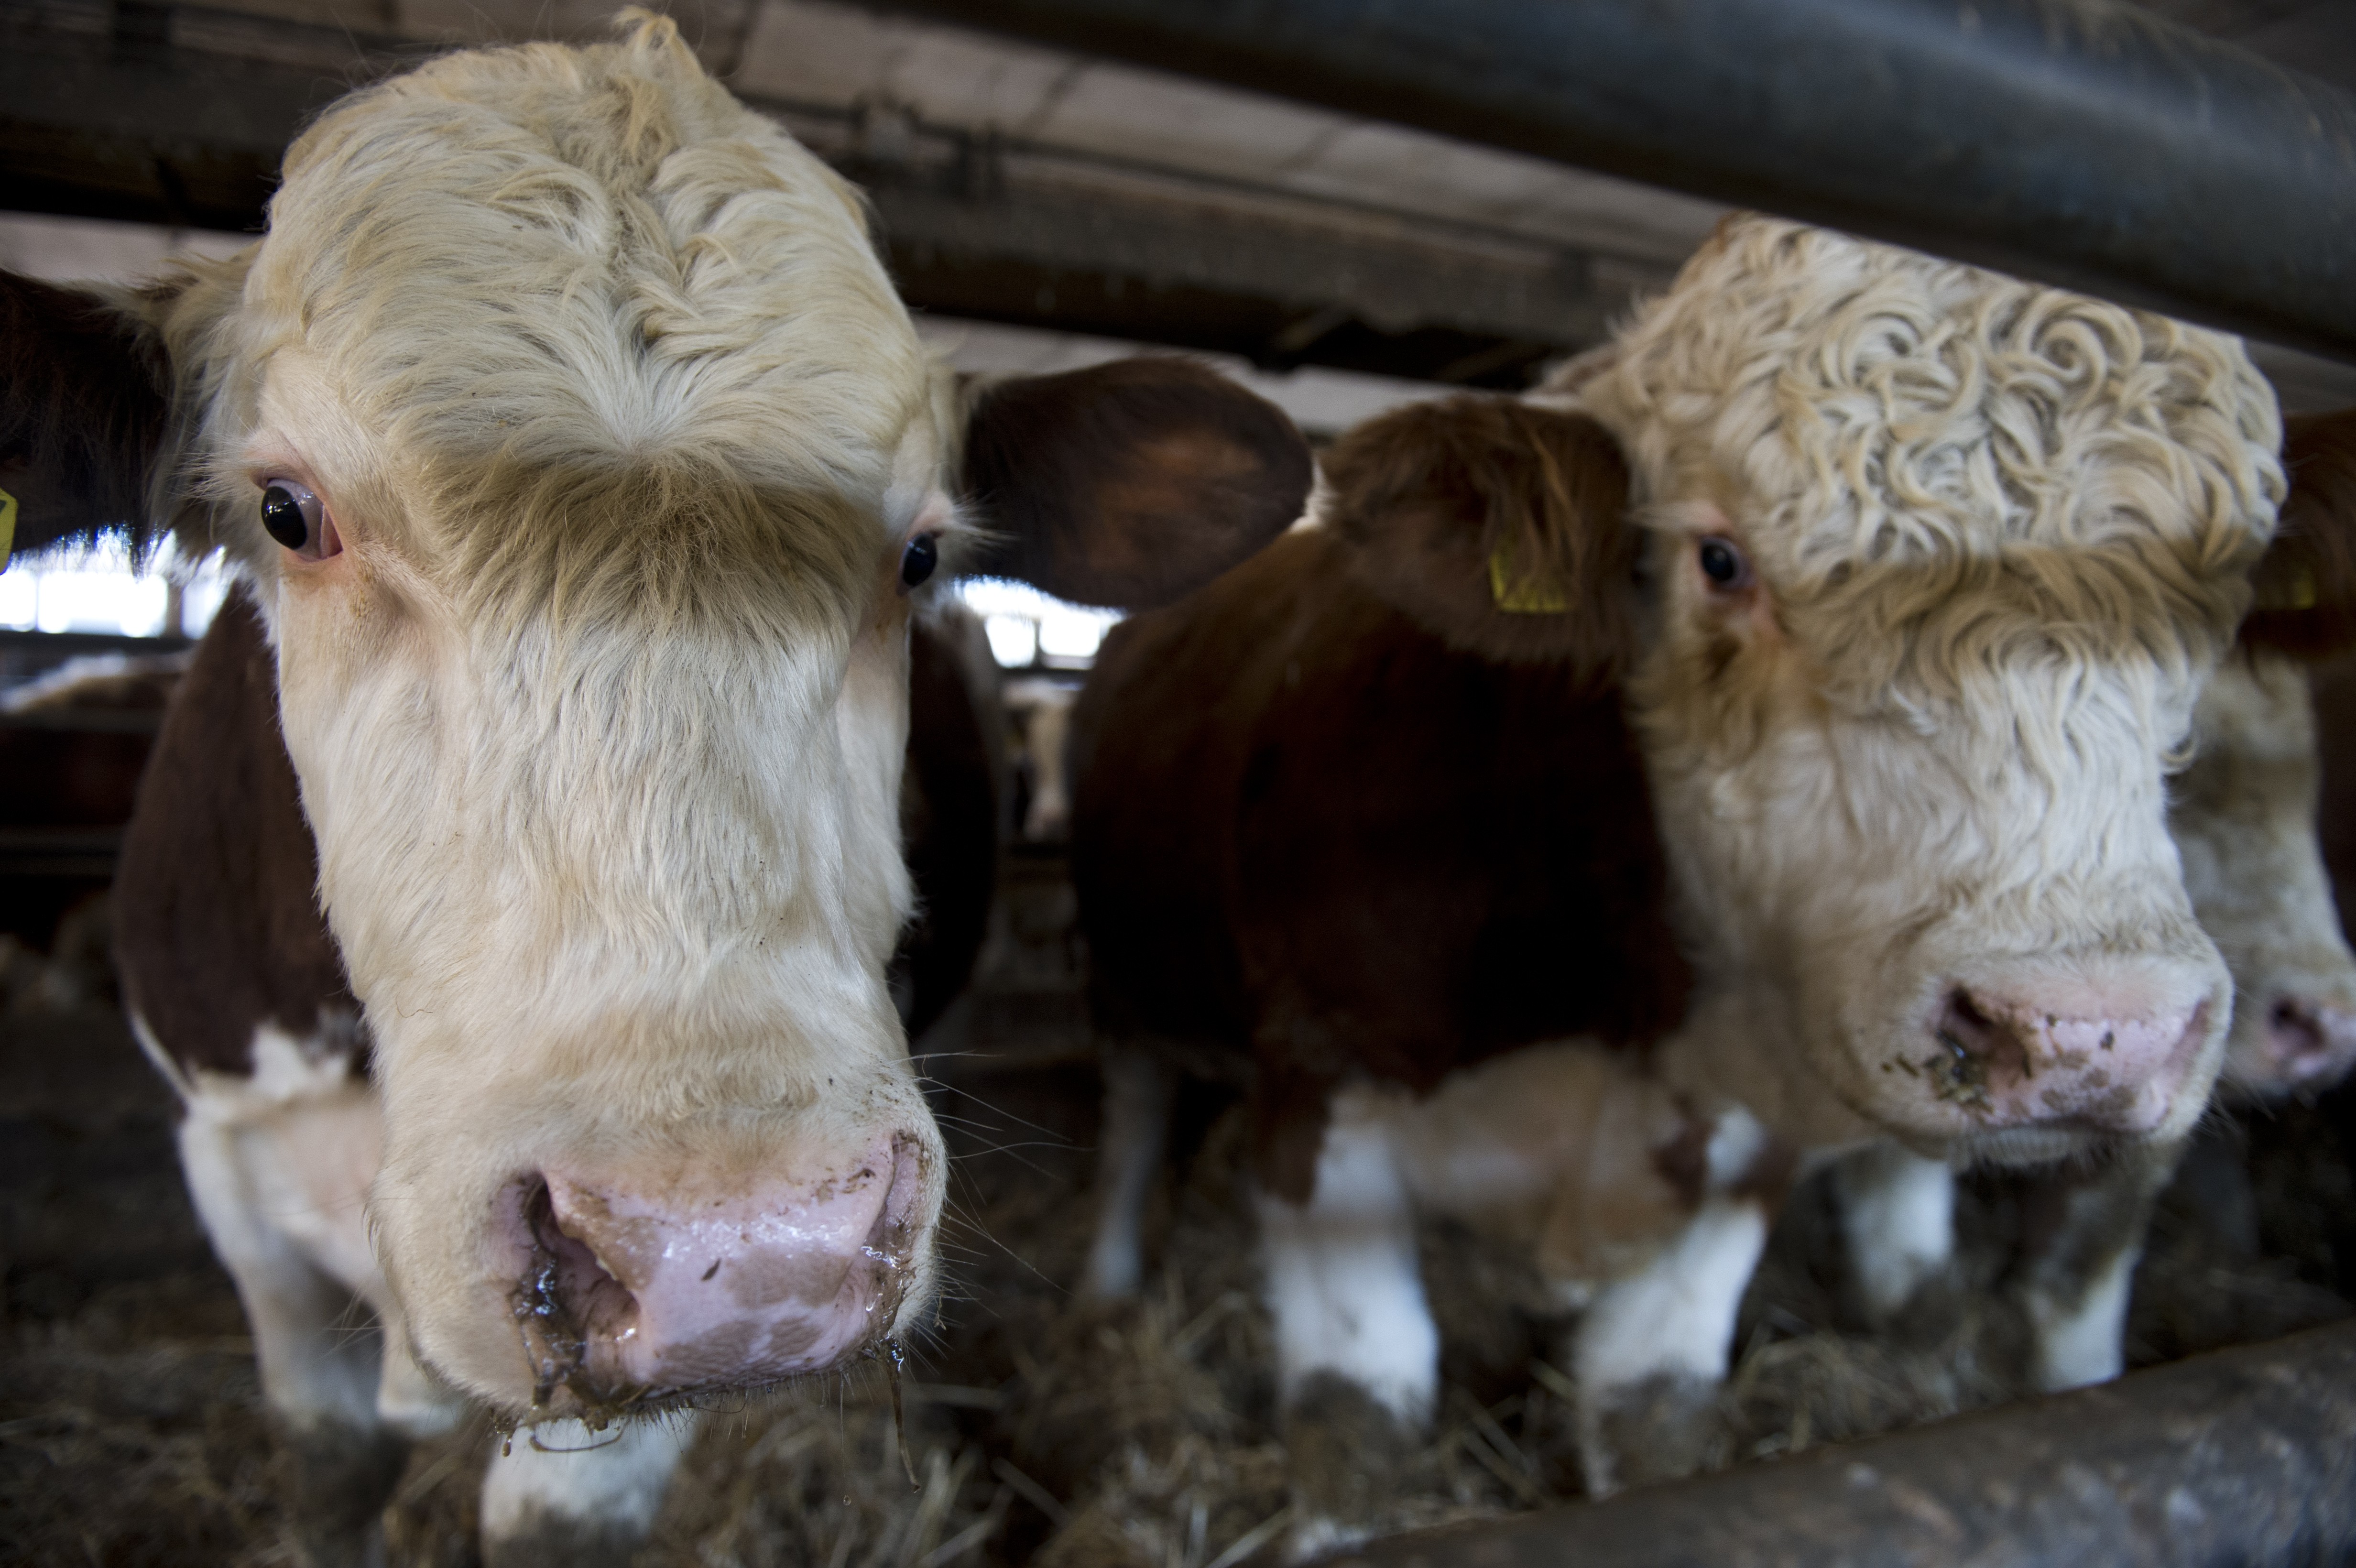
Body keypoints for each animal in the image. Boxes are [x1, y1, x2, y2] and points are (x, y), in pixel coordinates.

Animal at [1071, 215, 2292, 1550]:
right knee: (1131, 1119)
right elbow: (1362, 1422)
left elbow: (1653, 1414)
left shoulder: (1736, 1165)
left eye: (2216, 609)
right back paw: (1105, 1292)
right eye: (1720, 559)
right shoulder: (1315, 1101)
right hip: (1121, 973)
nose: (2092, 1030)